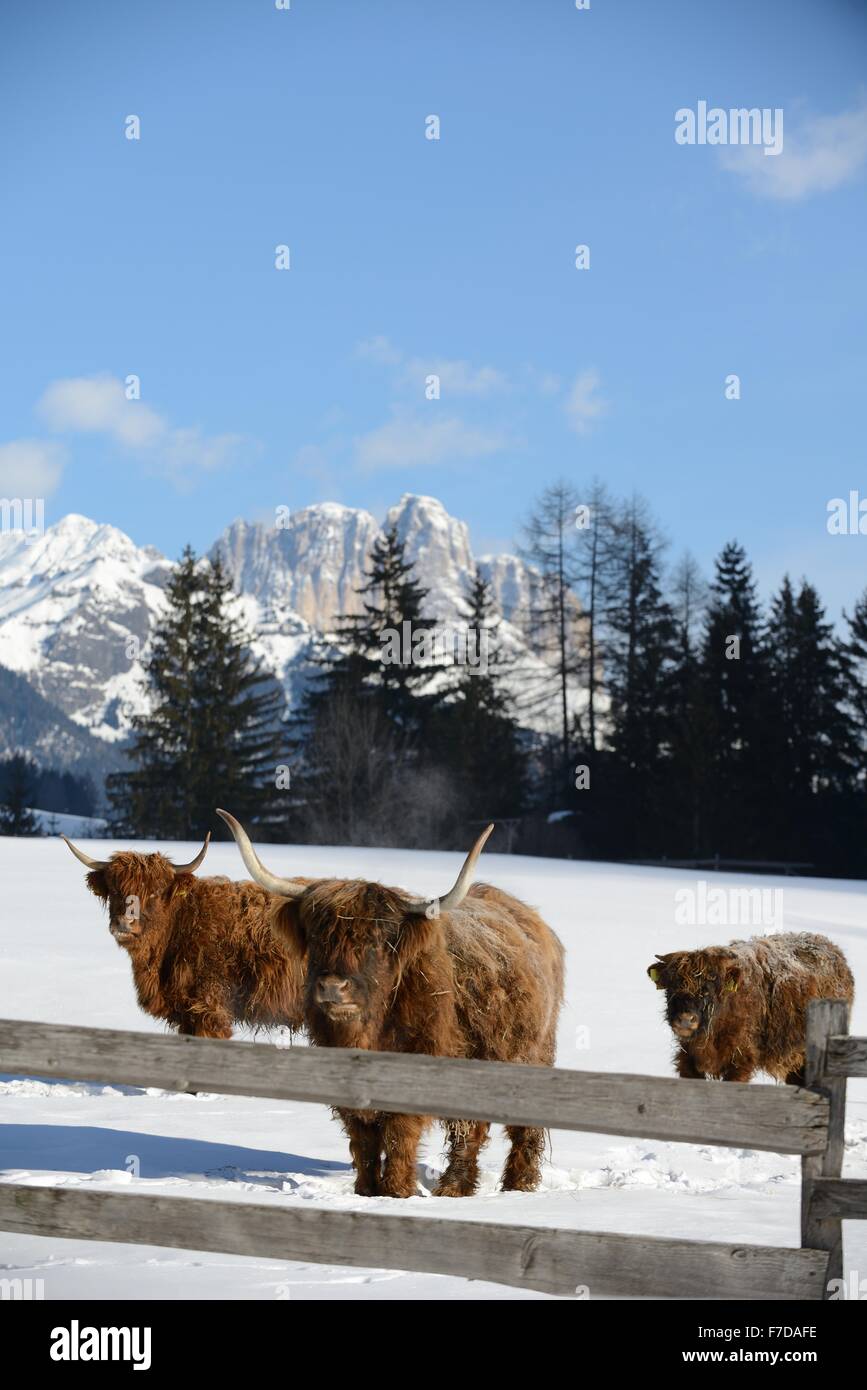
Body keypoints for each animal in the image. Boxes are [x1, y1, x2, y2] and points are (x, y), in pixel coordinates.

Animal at [217, 810, 565, 1199]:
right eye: (319, 937)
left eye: (377, 941)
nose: (333, 987)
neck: (369, 1034)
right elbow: (364, 1142)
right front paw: (367, 1192)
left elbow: (400, 1136)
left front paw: (398, 1192)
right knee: (469, 1129)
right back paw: (457, 1187)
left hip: (528, 1055)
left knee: (515, 1129)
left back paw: (511, 1185)